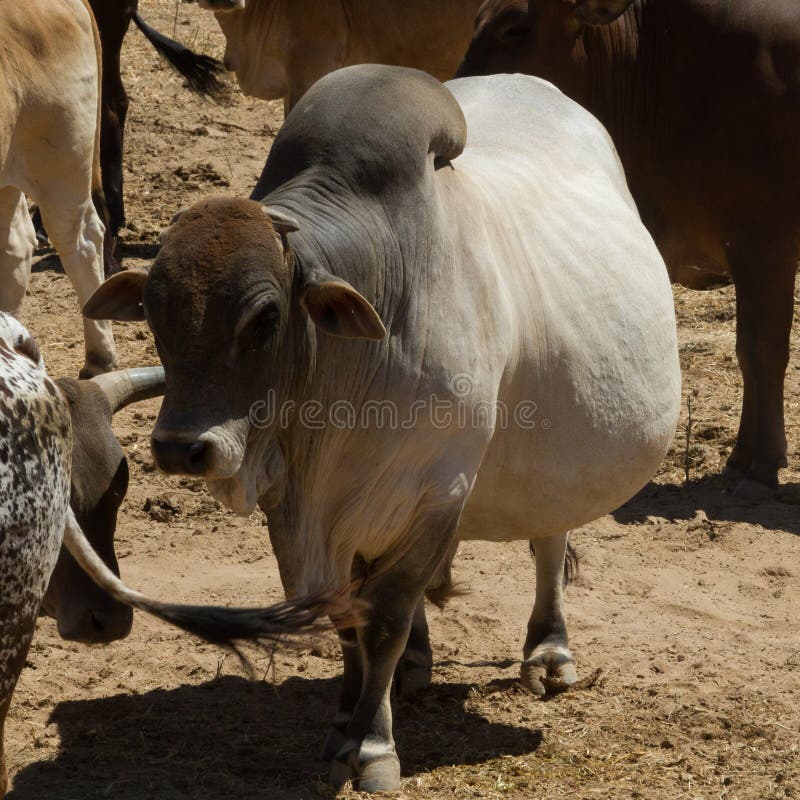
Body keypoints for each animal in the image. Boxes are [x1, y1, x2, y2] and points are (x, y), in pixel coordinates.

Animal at [85, 65, 681, 791]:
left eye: (266, 317)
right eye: (153, 310)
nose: (181, 448)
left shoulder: (437, 493)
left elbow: (385, 619)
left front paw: (371, 745)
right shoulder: (303, 510)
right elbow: (346, 618)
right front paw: (345, 720)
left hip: (553, 466)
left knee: (547, 543)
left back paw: (548, 652)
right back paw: (418, 668)